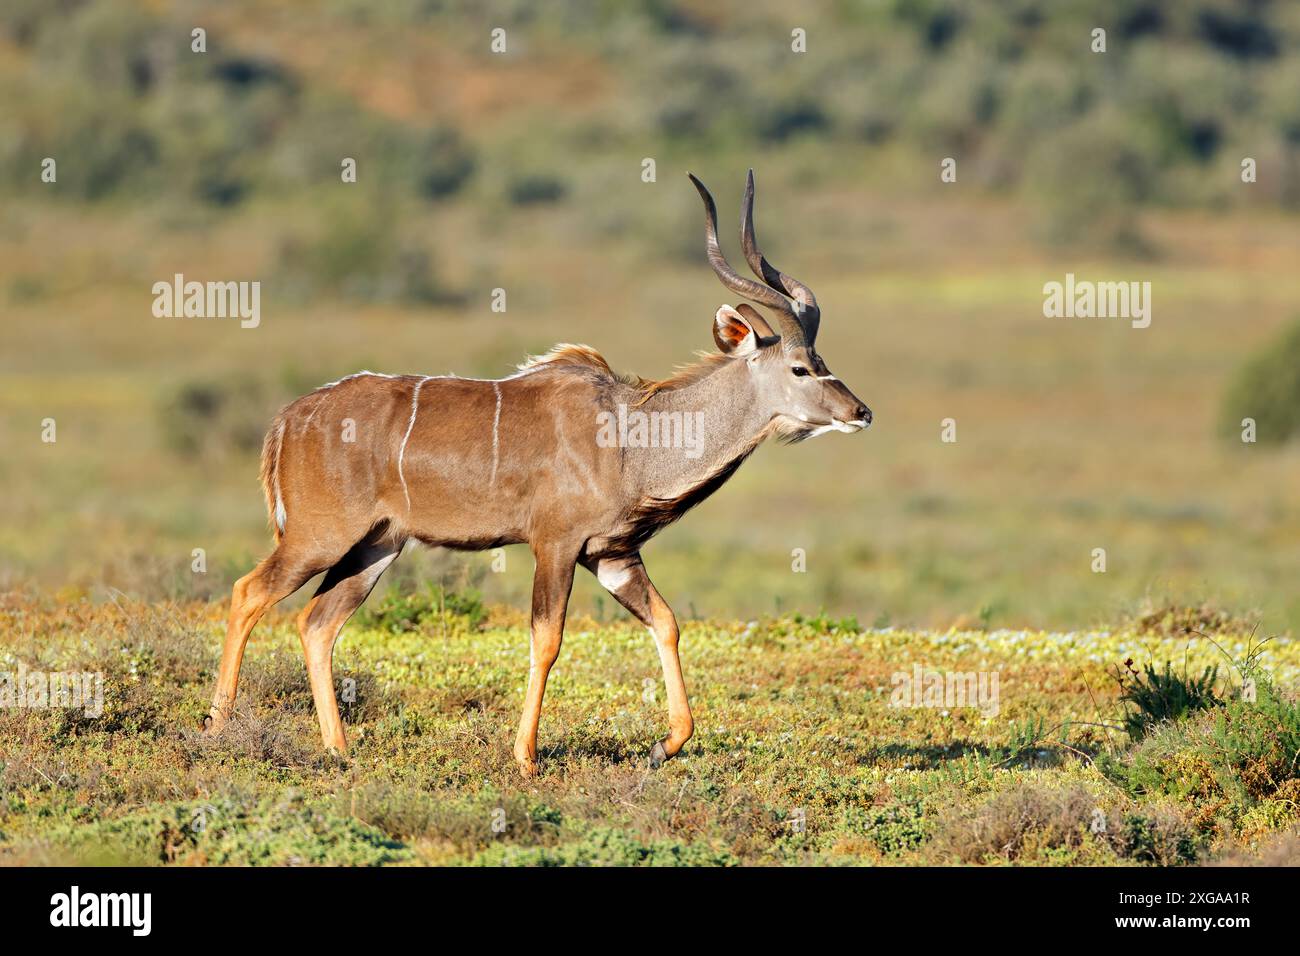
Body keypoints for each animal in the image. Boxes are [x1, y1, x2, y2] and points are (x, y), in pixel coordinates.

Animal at [204, 170, 871, 776]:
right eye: (801, 368)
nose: (861, 412)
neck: (631, 437)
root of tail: (289, 419)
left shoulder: (613, 554)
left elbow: (667, 622)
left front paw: (664, 746)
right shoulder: (556, 544)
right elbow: (547, 638)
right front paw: (524, 758)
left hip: (376, 547)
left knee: (317, 624)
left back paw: (339, 751)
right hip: (319, 538)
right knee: (248, 593)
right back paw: (218, 728)